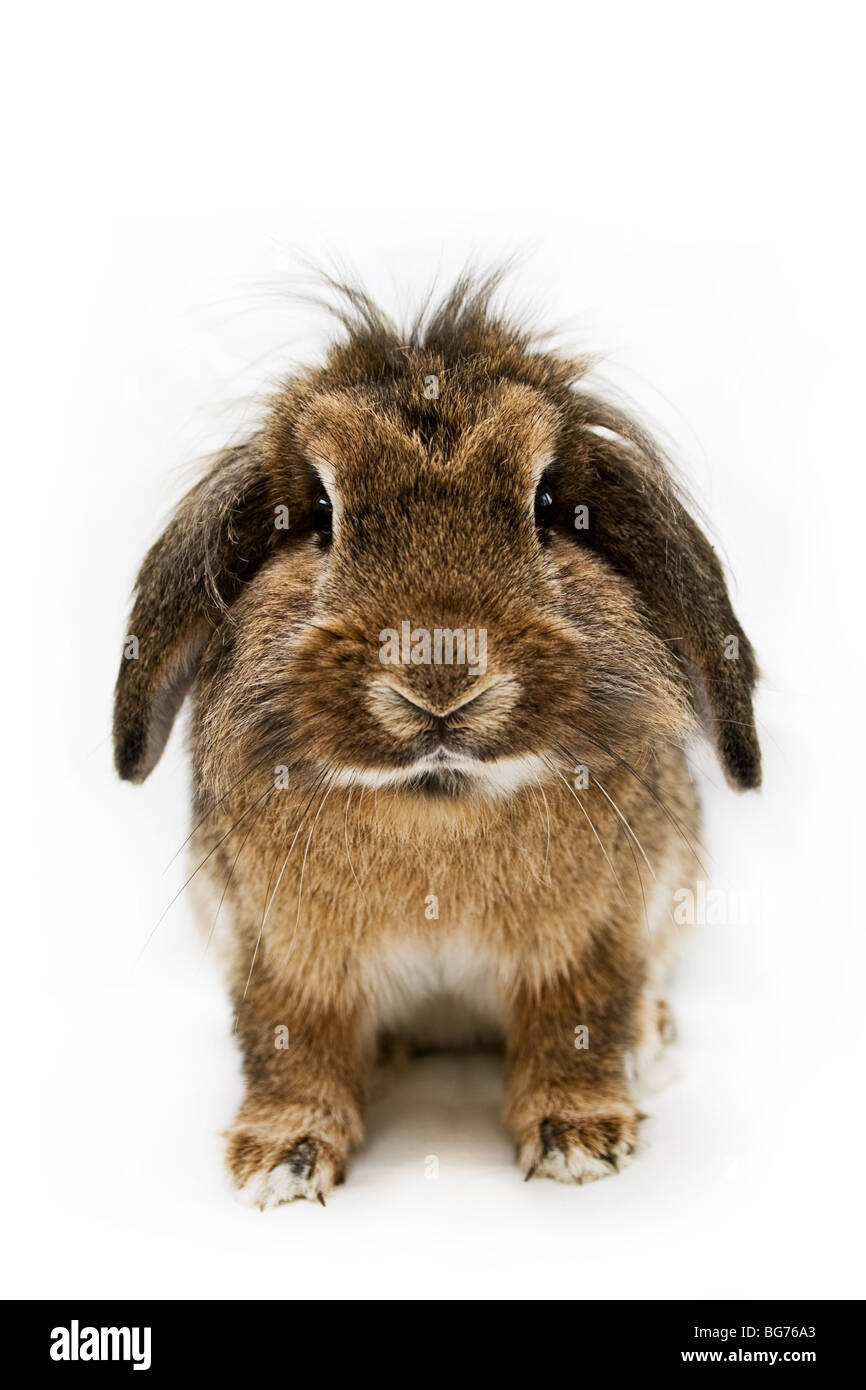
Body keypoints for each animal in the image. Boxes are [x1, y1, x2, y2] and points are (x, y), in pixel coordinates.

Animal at [113, 272, 760, 1207]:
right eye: (319, 513)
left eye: (549, 506)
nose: (441, 680)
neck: (438, 803)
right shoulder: (279, 956)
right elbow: (289, 1043)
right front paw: (280, 1161)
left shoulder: (597, 940)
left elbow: (583, 1019)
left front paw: (582, 1143)